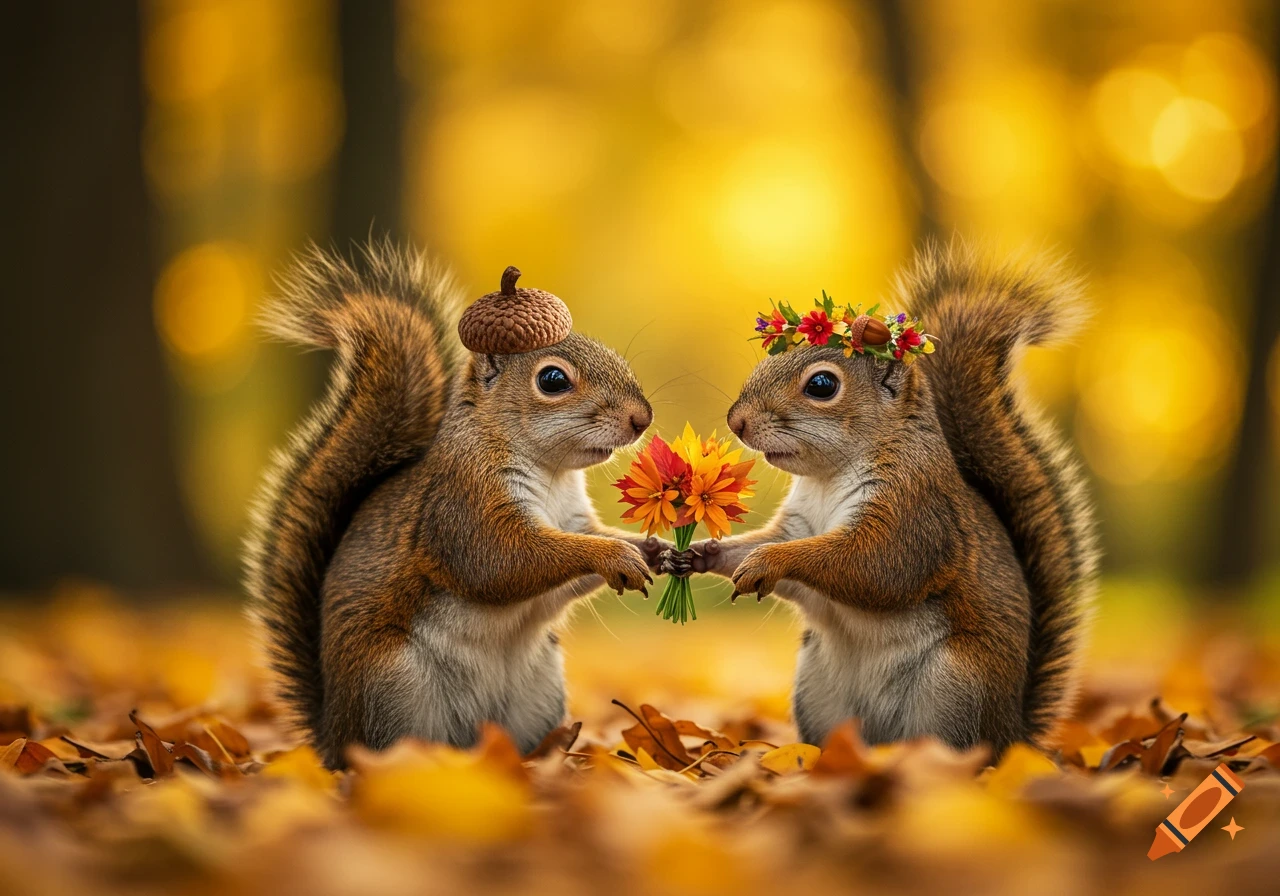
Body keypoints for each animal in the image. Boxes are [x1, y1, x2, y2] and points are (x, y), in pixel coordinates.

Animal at [244, 241, 666, 767]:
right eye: (552, 379)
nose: (641, 418)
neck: (551, 473)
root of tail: (332, 736)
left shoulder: (573, 517)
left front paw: (652, 547)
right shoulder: (463, 506)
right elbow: (503, 562)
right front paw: (616, 556)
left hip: (538, 689)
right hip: (393, 690)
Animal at [664, 244, 1097, 756]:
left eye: (822, 385)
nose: (737, 421)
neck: (827, 478)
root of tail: (1014, 735)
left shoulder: (914, 510)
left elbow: (874, 565)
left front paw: (768, 561)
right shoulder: (798, 522)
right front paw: (700, 554)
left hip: (956, 687)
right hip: (817, 688)